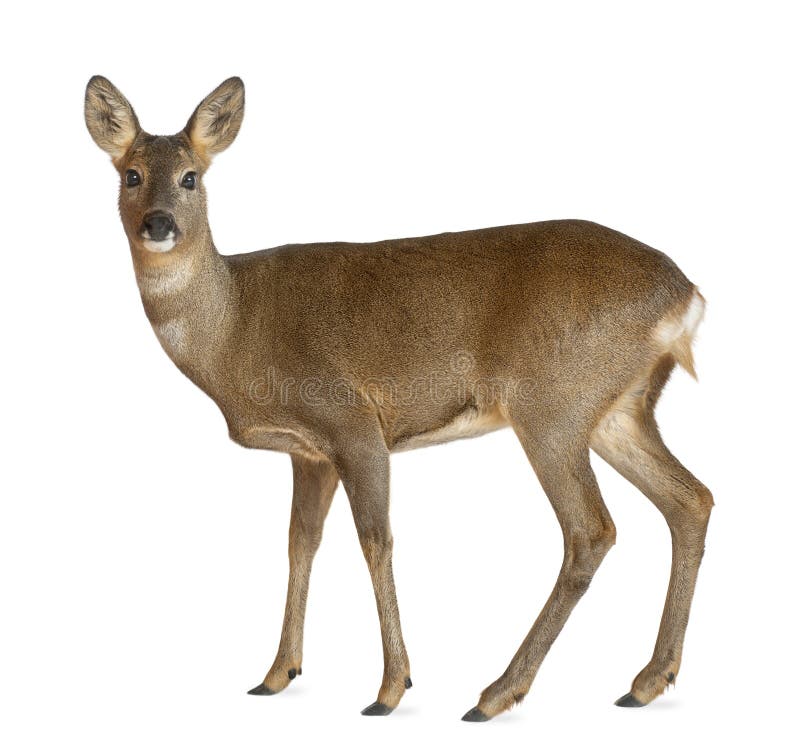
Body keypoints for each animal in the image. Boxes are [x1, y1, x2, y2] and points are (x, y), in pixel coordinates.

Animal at [84, 75, 713, 722]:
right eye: (131, 174)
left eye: (191, 177)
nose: (159, 223)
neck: (236, 326)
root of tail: (685, 296)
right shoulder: (309, 453)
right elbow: (299, 543)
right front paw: (278, 673)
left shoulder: (352, 420)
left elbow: (376, 540)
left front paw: (390, 687)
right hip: (618, 410)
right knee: (691, 499)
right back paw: (646, 680)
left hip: (552, 406)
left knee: (592, 530)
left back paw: (496, 693)